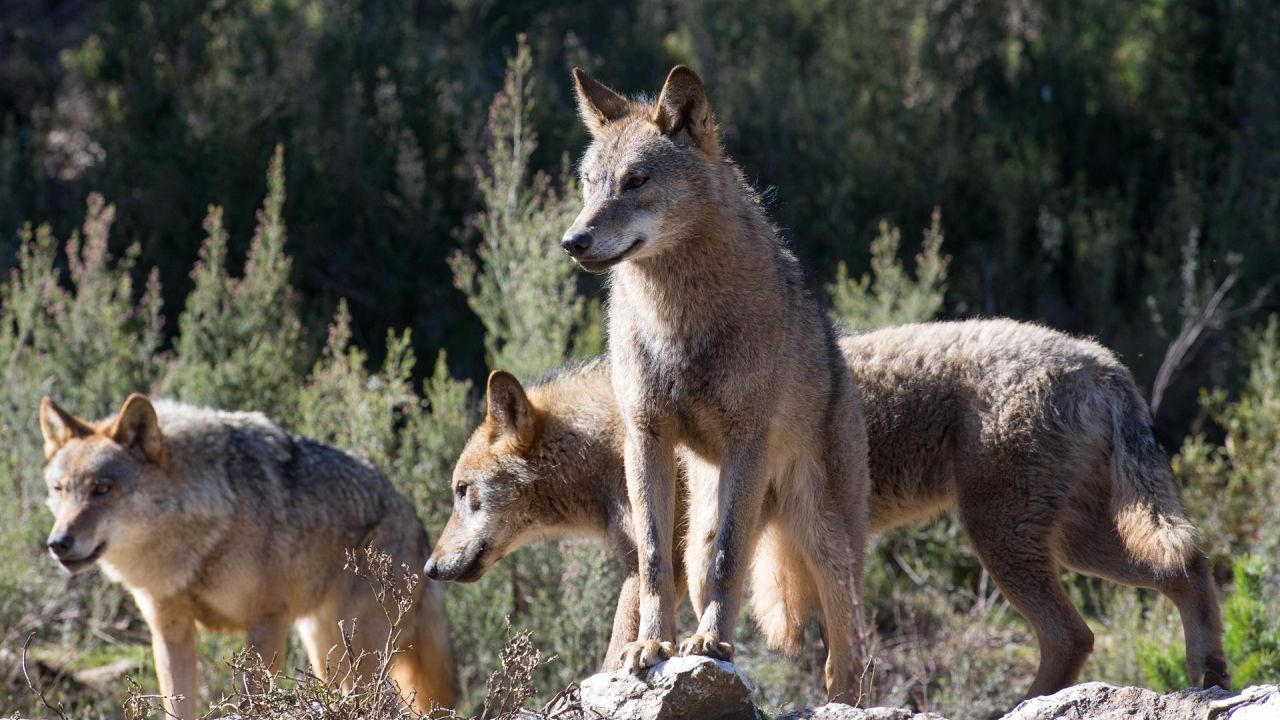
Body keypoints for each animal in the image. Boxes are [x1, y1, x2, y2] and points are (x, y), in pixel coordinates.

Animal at [39, 394, 456, 719]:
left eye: (102, 489)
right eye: (59, 489)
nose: (58, 543)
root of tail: (418, 524)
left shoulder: (268, 621)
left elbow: (253, 701)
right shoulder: (170, 631)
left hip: (360, 658)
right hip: (328, 655)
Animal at [427, 319, 1228, 700]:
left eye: (463, 494)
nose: (431, 569)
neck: (610, 440)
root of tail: (1102, 360)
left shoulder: (655, 571)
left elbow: (619, 647)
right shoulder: (656, 568)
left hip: (1008, 542)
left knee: (1075, 632)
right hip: (1077, 544)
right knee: (1189, 569)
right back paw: (1209, 676)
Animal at [559, 64, 872, 700]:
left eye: (636, 181)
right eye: (589, 183)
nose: (572, 242)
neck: (677, 322)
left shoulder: (746, 439)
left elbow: (732, 560)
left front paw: (708, 646)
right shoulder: (645, 439)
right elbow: (653, 562)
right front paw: (650, 647)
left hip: (826, 547)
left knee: (846, 658)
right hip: (704, 529)